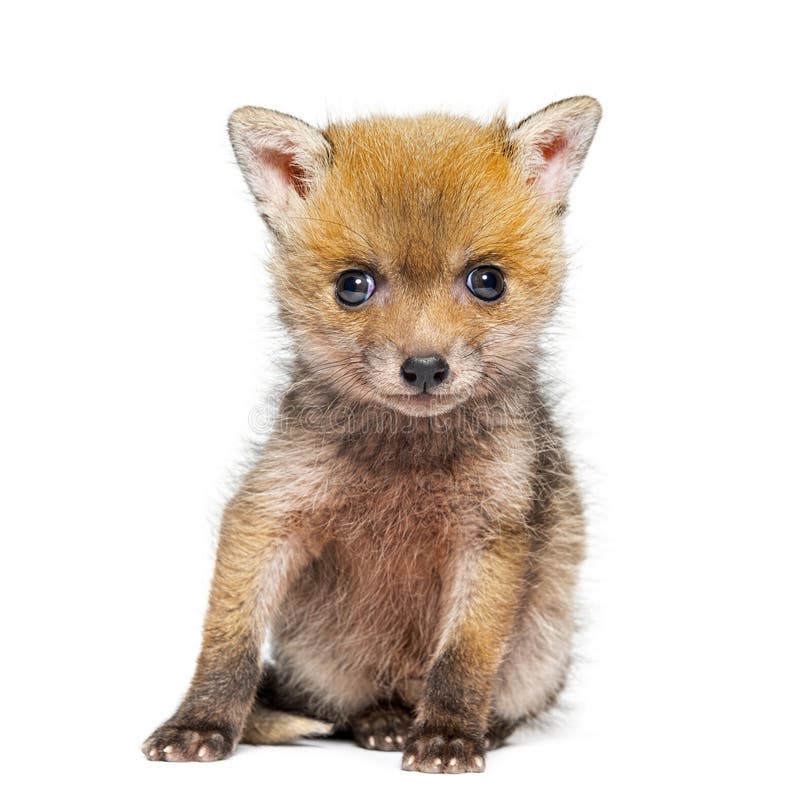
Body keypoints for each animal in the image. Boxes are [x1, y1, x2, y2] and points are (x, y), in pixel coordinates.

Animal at [142, 96, 601, 774]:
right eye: (353, 285)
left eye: (487, 281)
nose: (425, 368)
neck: (406, 459)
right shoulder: (266, 512)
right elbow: (229, 642)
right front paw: (200, 722)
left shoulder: (494, 535)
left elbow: (463, 657)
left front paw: (449, 736)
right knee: (346, 709)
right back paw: (382, 721)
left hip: (539, 659)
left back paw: (465, 727)